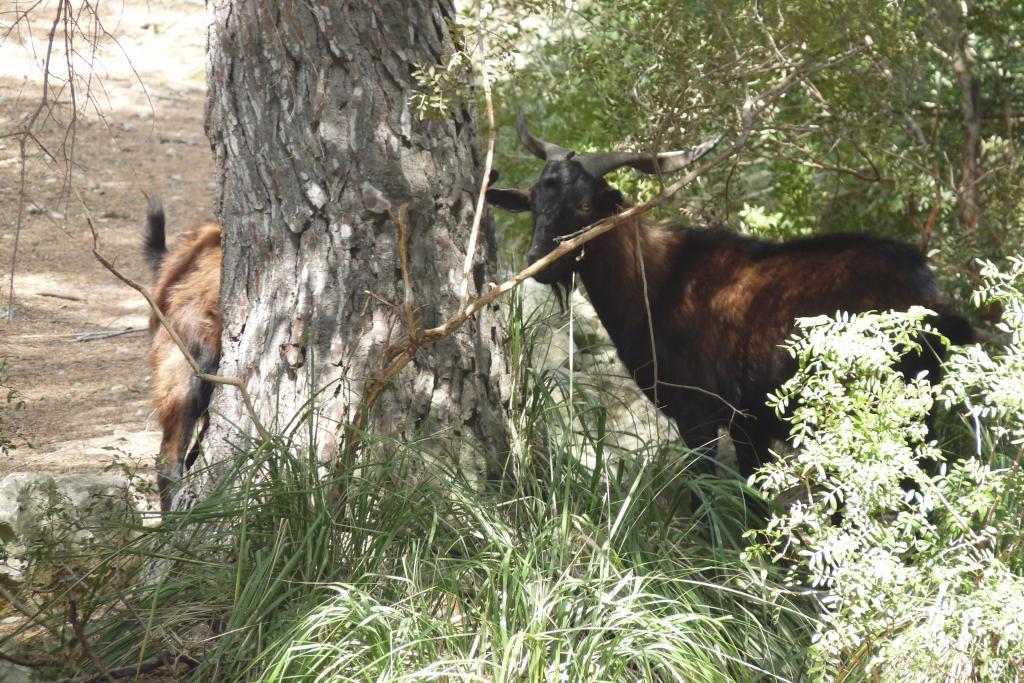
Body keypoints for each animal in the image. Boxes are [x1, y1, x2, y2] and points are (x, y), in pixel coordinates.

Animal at [487, 116, 974, 479]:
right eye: (534, 201)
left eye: (586, 206)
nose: (538, 261)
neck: (653, 282)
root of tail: (932, 298)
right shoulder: (749, 423)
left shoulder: (699, 412)